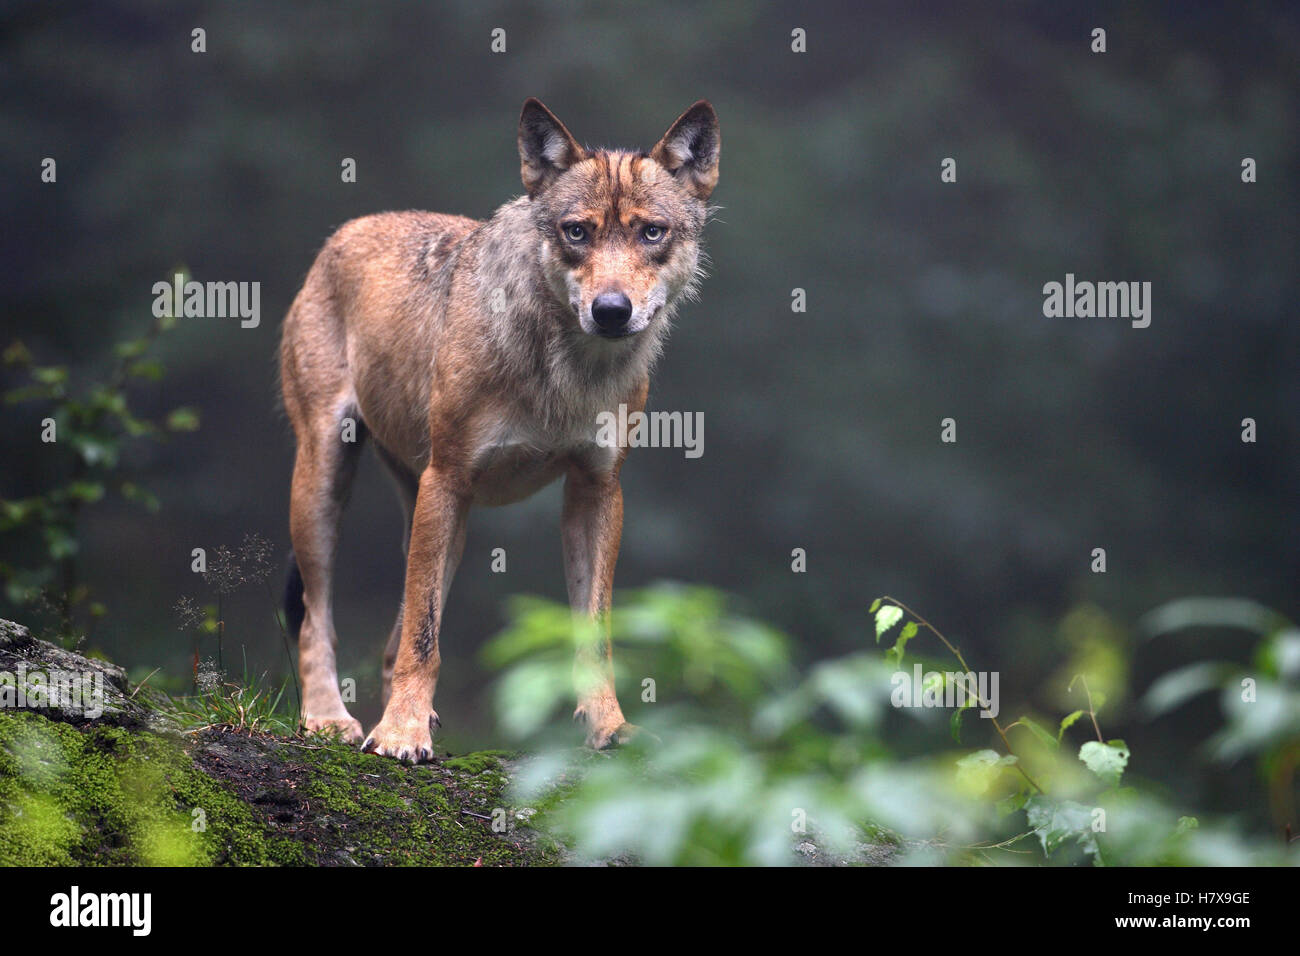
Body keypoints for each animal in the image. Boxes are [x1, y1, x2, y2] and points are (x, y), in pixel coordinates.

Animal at [279, 98, 720, 762]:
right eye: (576, 232)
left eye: (651, 232)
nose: (611, 311)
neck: (564, 372)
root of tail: (342, 234)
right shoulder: (449, 477)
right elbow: (425, 637)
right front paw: (402, 734)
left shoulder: (597, 490)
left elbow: (596, 633)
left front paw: (610, 728)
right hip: (330, 485)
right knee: (318, 618)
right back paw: (332, 720)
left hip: (438, 521)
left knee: (389, 638)